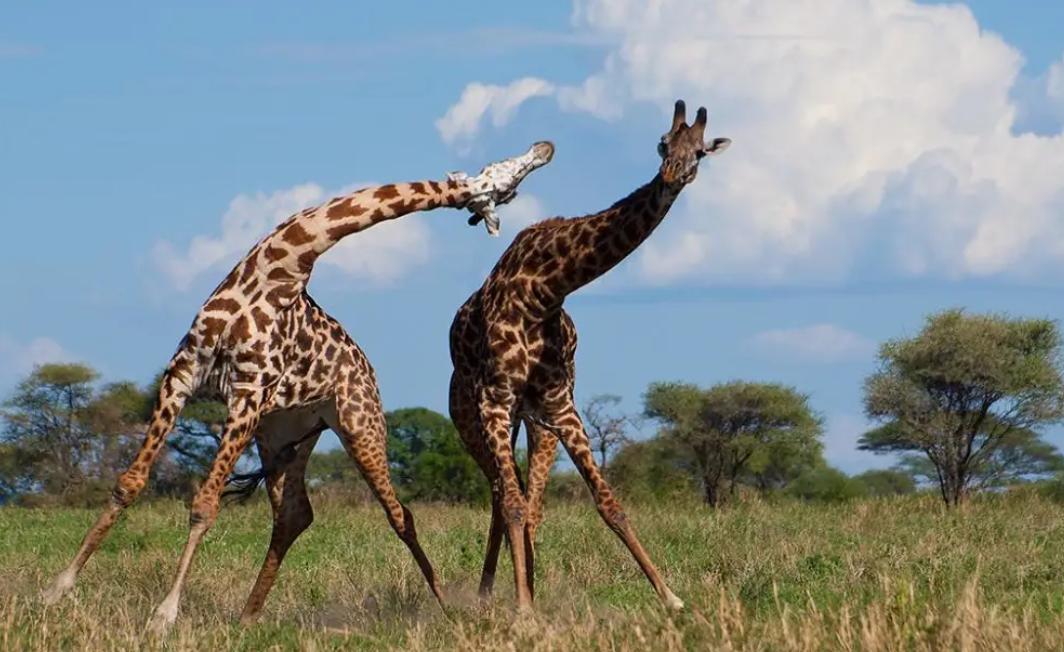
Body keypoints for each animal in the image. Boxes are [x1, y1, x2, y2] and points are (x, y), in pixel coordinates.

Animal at [41, 141, 555, 633]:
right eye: (506, 176)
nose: (544, 149)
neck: (281, 263)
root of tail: (367, 370)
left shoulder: (246, 393)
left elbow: (205, 504)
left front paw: (164, 614)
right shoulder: (183, 375)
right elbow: (129, 483)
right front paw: (57, 589)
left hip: (358, 426)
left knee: (398, 514)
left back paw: (446, 607)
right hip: (283, 433)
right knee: (294, 514)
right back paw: (248, 614)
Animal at [448, 100, 730, 610]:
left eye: (699, 151)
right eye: (662, 142)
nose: (673, 174)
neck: (547, 287)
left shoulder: (560, 403)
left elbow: (609, 503)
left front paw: (670, 597)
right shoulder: (495, 398)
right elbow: (511, 503)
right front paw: (522, 610)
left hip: (535, 425)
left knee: (528, 500)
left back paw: (525, 585)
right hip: (469, 413)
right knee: (502, 496)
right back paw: (490, 594)